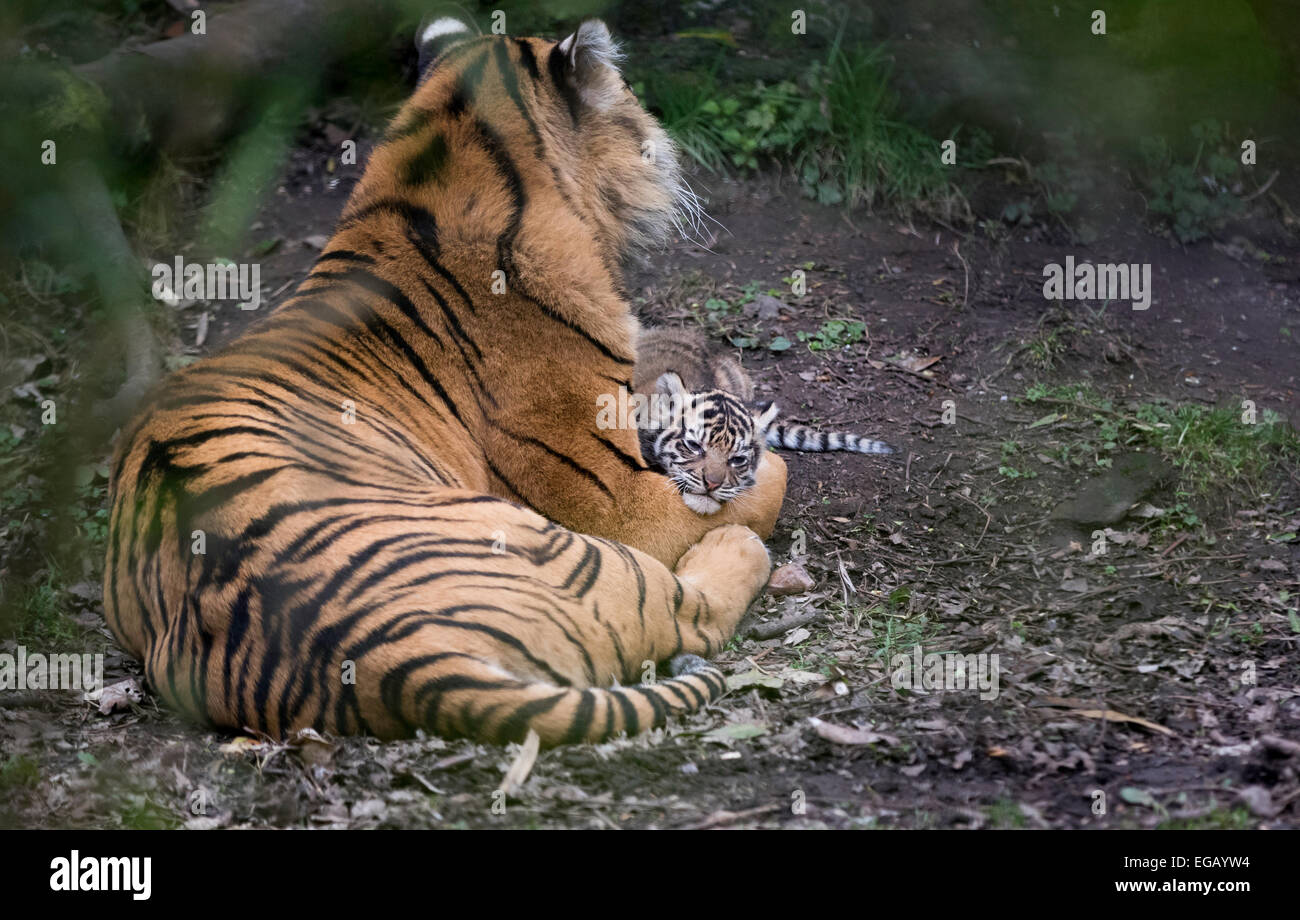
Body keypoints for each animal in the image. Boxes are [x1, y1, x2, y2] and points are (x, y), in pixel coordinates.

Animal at [102, 15, 788, 747]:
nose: (665, 148)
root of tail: (407, 661)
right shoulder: (614, 495)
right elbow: (760, 482)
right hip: (570, 548)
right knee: (692, 609)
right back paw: (735, 546)